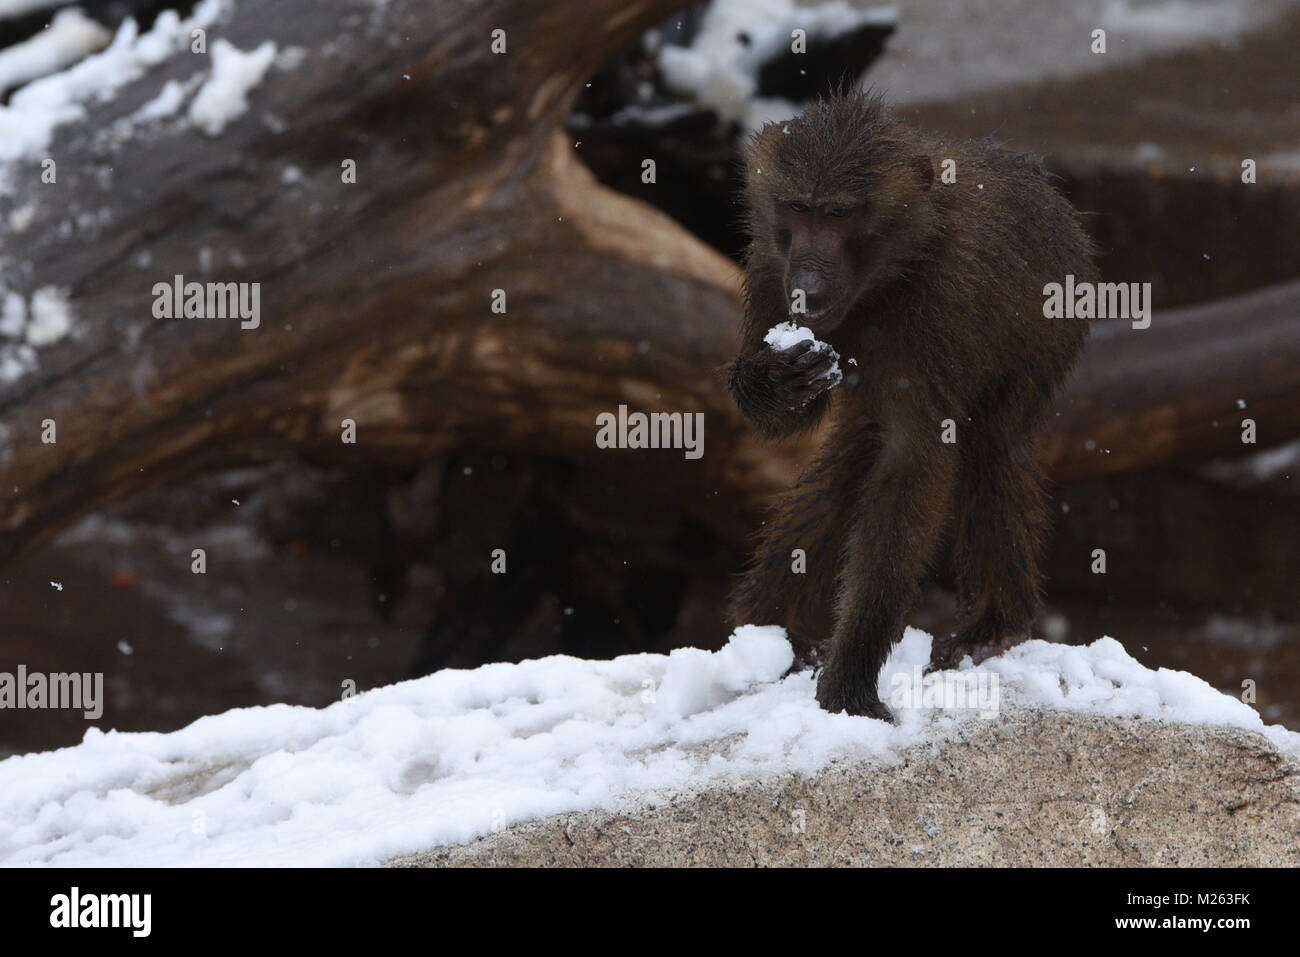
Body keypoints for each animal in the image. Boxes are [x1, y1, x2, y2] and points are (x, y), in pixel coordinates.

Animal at [726, 91, 1097, 720]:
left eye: (839, 215)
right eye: (800, 208)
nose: (808, 286)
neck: (894, 266)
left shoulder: (945, 299)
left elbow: (914, 458)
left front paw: (850, 681)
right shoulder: (769, 269)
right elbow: (798, 421)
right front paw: (771, 381)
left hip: (1055, 316)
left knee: (990, 440)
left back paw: (993, 629)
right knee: (850, 456)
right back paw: (770, 633)